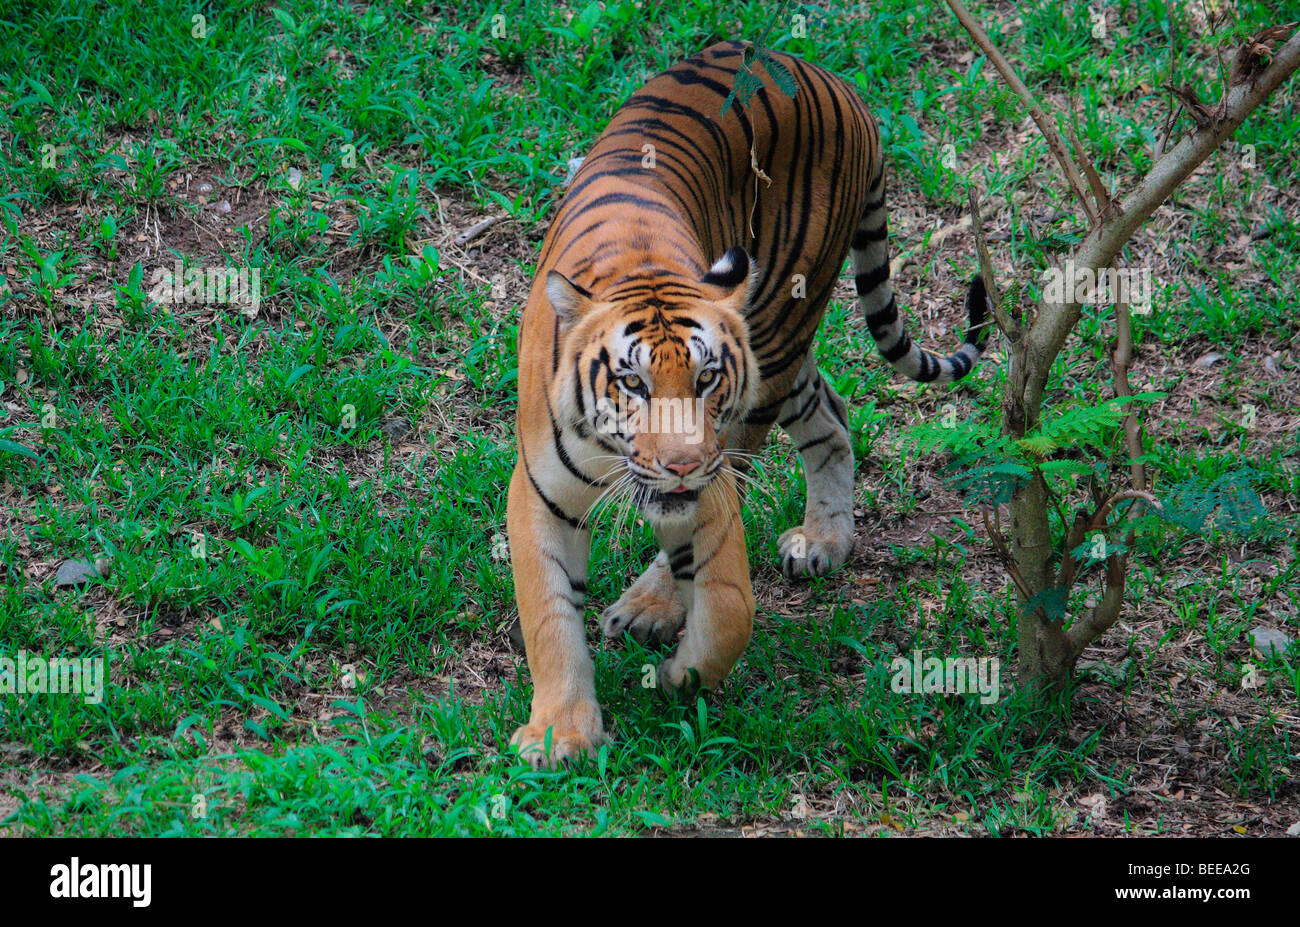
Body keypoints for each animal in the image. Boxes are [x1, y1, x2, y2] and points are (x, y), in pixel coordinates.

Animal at [506, 40, 989, 767]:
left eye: (705, 379)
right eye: (633, 383)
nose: (680, 465)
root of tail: (833, 79)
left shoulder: (710, 482)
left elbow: (731, 607)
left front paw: (679, 676)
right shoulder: (538, 492)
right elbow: (550, 614)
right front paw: (561, 735)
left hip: (776, 334)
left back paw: (670, 599)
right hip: (780, 355)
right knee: (832, 412)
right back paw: (819, 541)